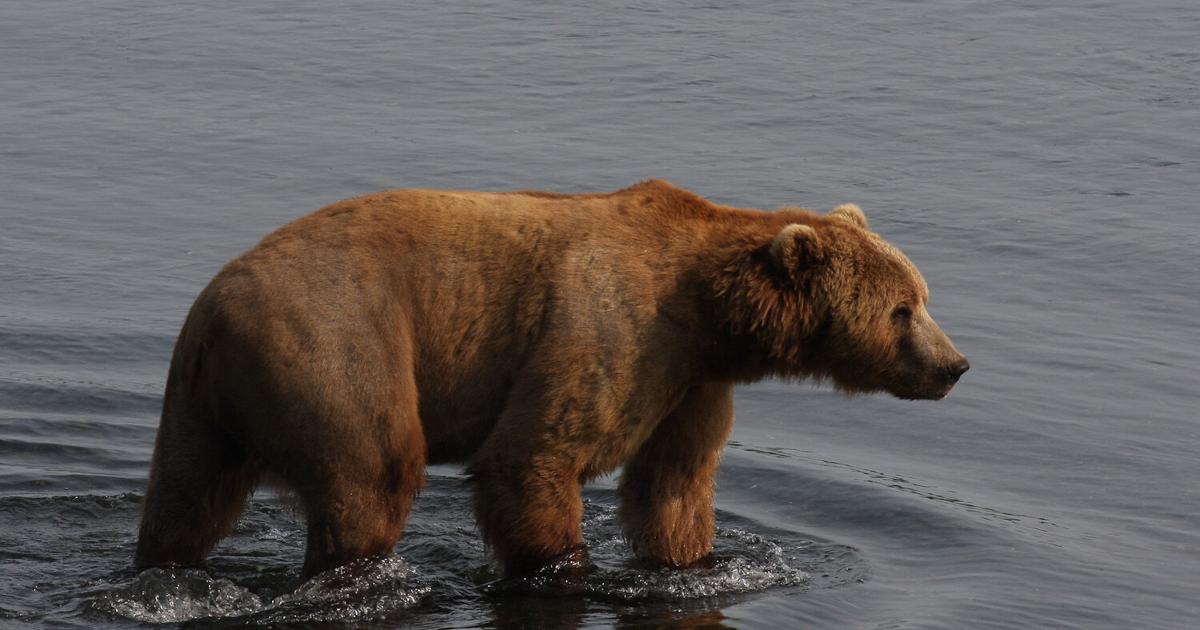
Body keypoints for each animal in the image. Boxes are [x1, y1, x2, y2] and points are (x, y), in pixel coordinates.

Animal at [134, 180, 967, 581]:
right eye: (901, 309)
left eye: (923, 296)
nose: (954, 366)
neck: (711, 317)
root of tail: (215, 308)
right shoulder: (612, 330)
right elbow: (535, 455)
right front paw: (559, 566)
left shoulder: (690, 386)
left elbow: (672, 488)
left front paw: (691, 559)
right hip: (337, 345)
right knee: (372, 472)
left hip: (204, 399)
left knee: (186, 498)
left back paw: (160, 562)